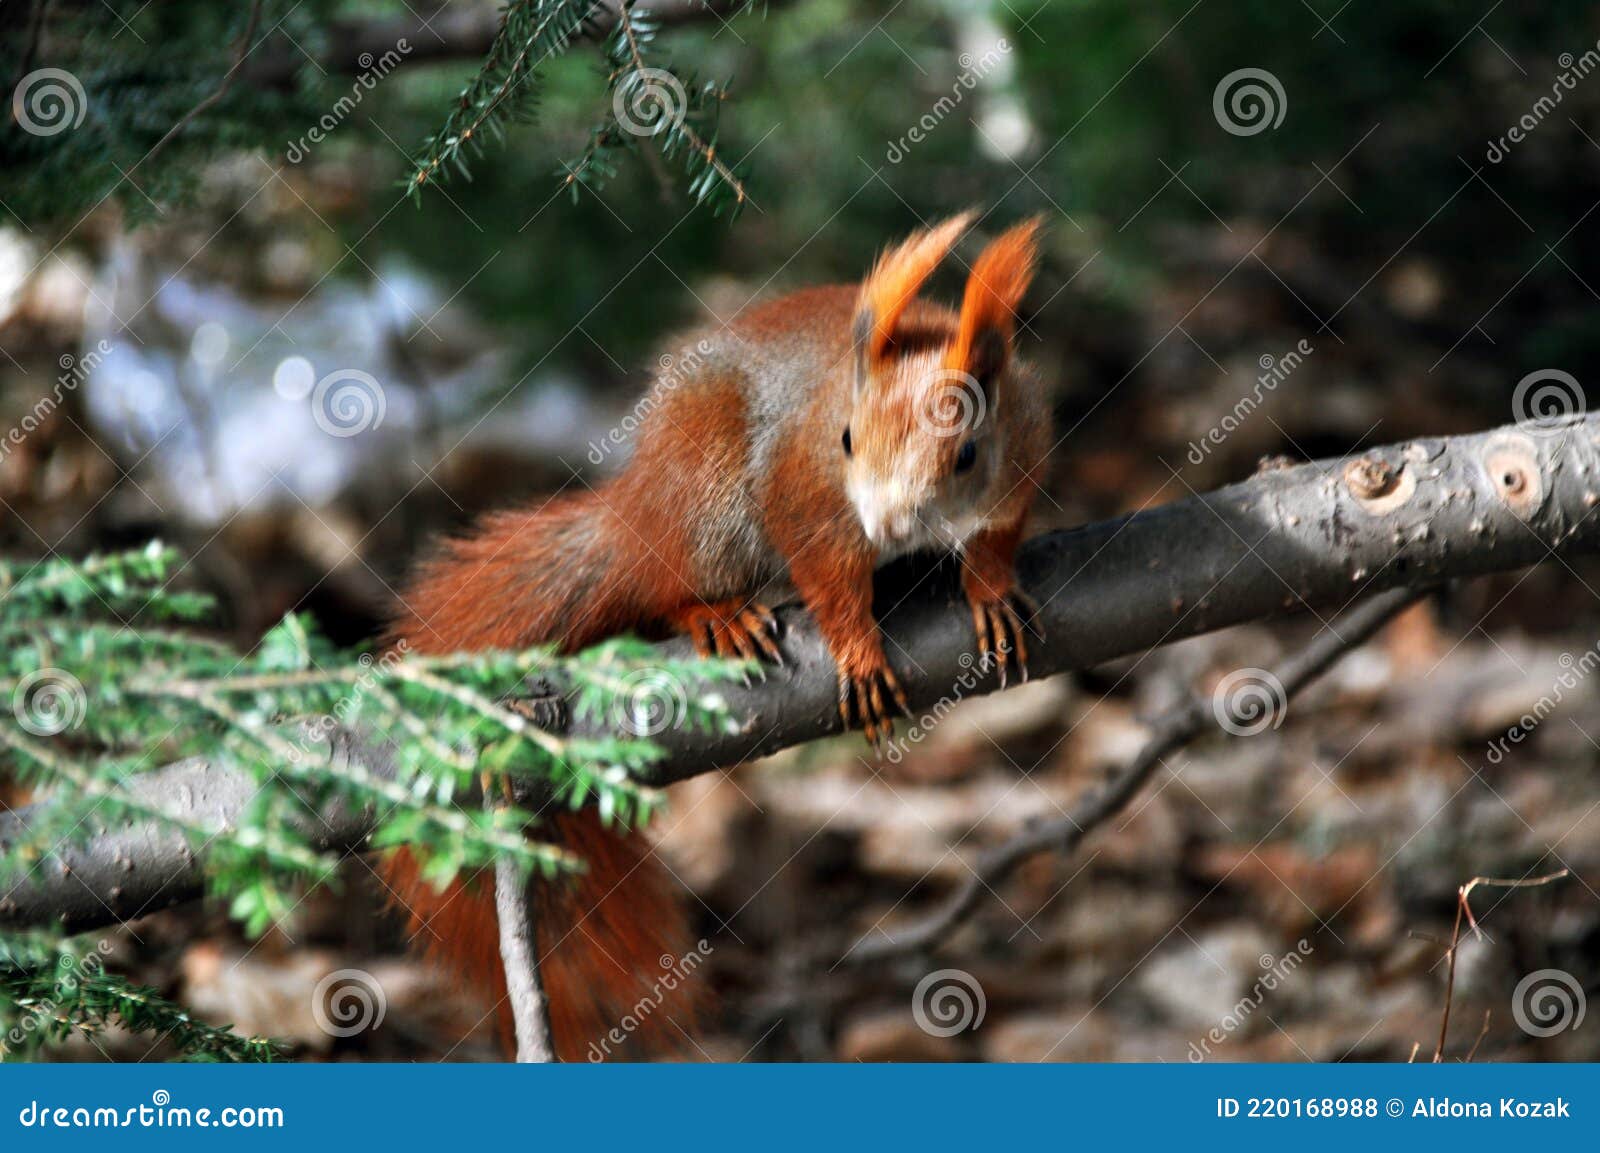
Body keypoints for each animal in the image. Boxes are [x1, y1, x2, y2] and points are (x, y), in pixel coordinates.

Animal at [381, 211, 1050, 1060]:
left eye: (965, 453)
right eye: (846, 438)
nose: (888, 526)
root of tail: (636, 510)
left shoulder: (1021, 451)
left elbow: (997, 532)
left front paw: (989, 590)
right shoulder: (802, 486)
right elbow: (828, 571)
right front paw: (858, 648)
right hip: (707, 504)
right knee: (664, 585)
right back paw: (716, 614)